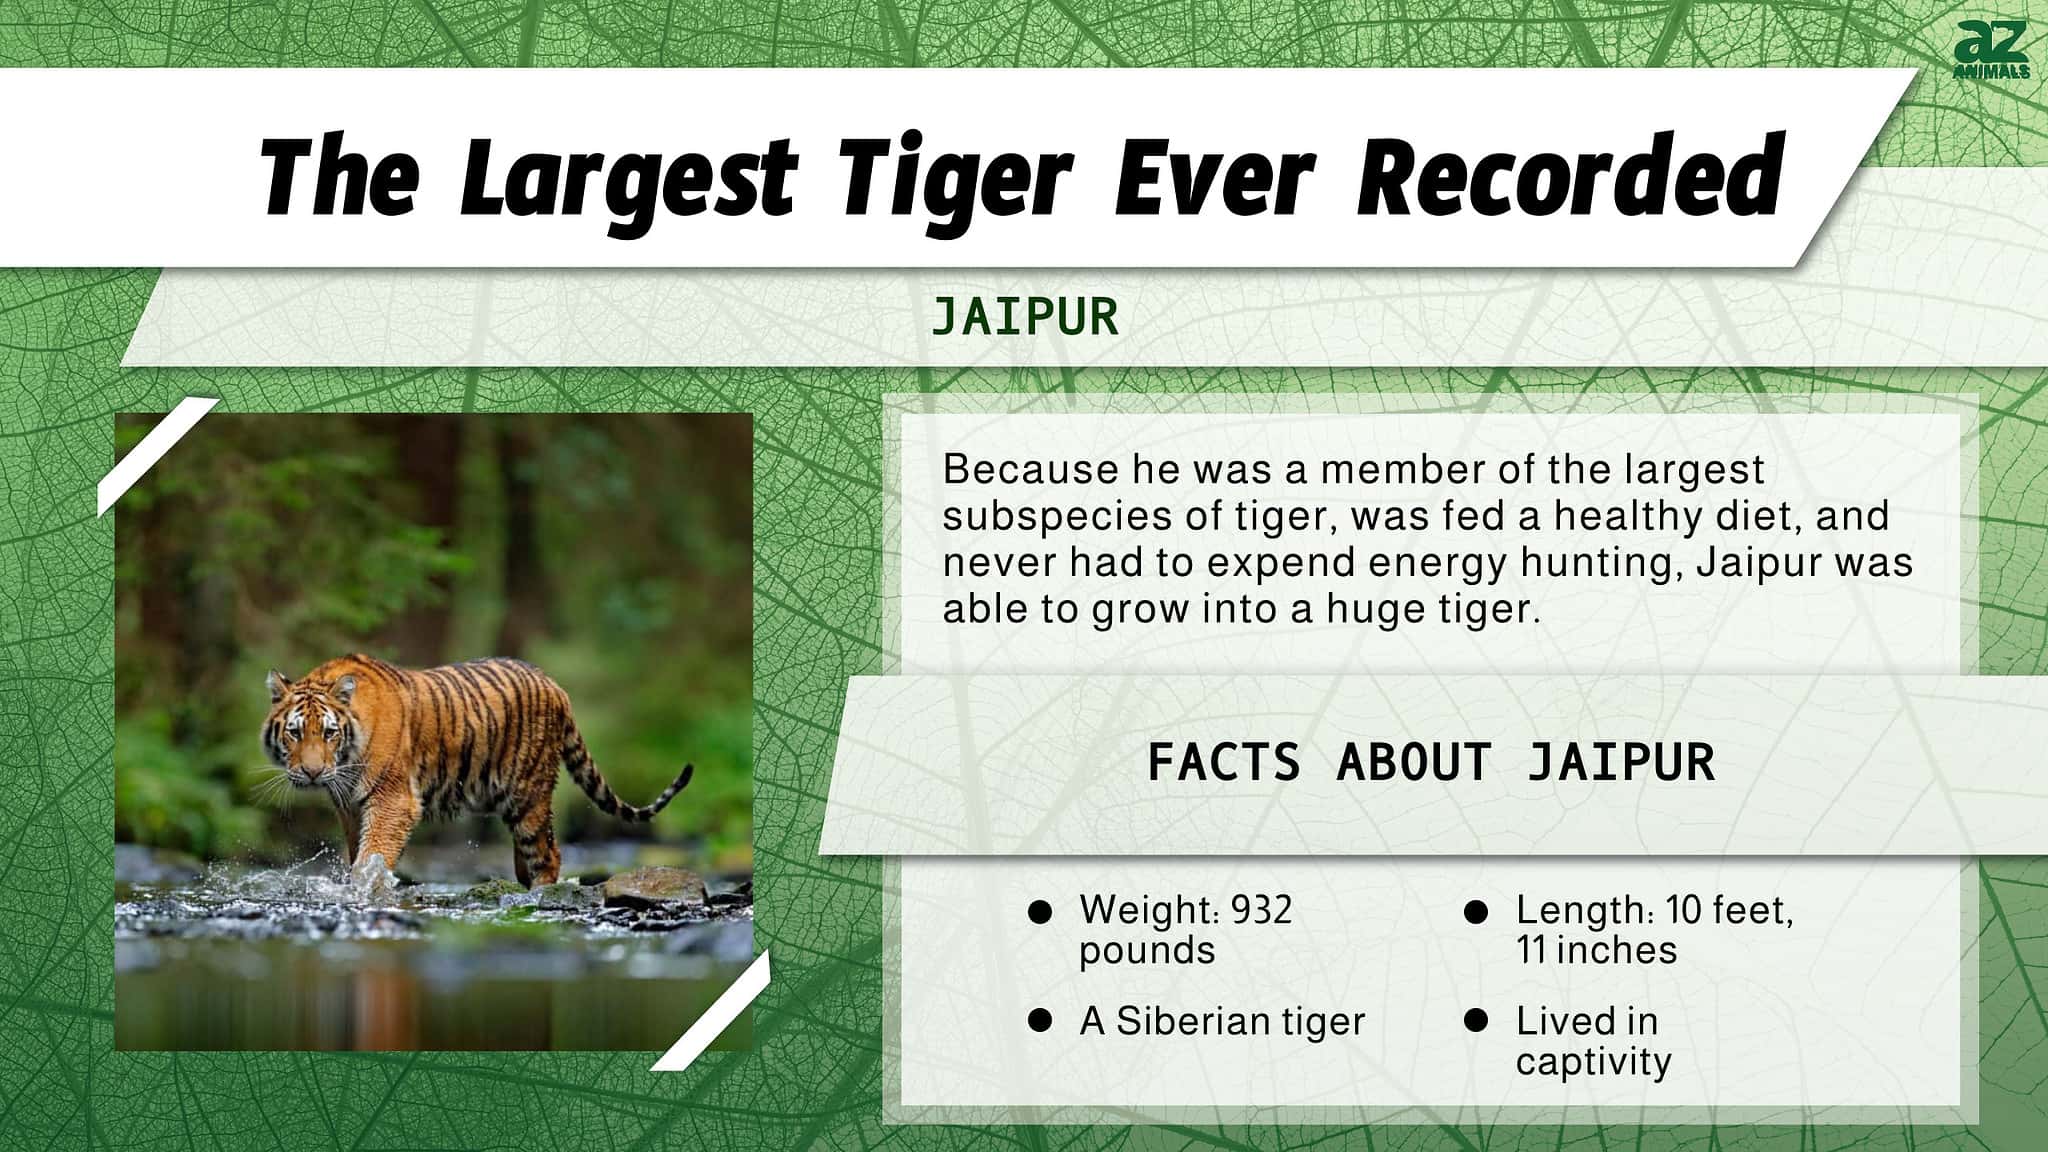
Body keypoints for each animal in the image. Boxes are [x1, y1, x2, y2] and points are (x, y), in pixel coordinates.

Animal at [262, 653, 694, 887]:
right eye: (295, 733)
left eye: (329, 733)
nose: (313, 773)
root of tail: (556, 685)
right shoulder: (350, 806)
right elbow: (358, 854)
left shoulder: (393, 800)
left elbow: (373, 856)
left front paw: (366, 890)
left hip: (529, 795)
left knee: (548, 854)